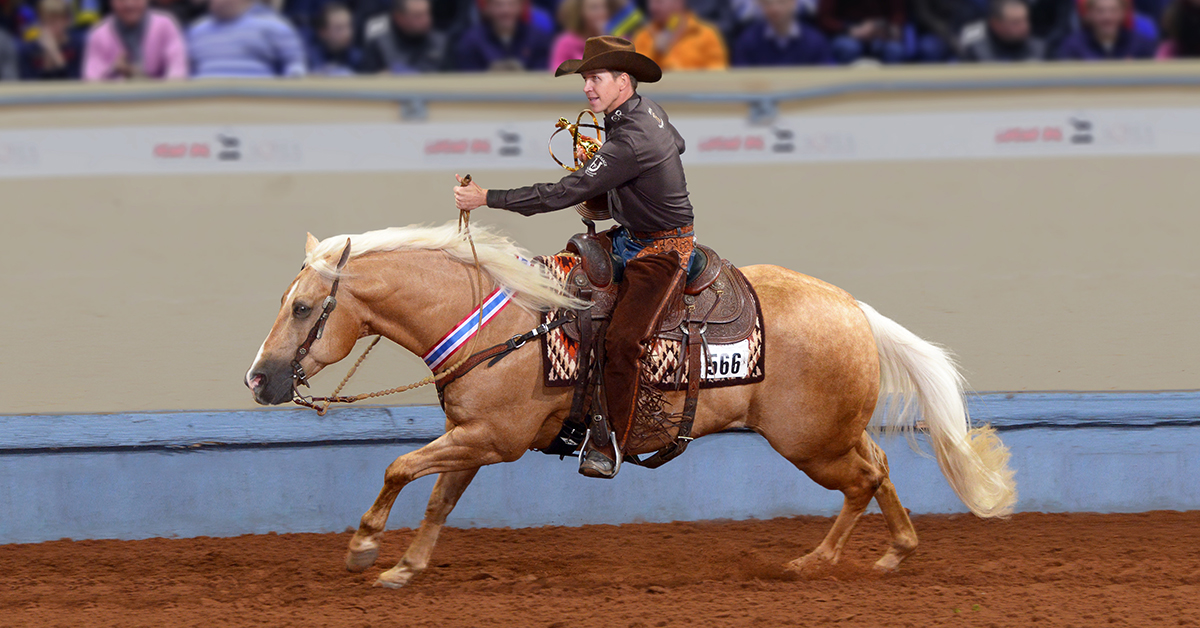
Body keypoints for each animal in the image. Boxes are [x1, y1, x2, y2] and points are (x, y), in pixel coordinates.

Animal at [244, 222, 1017, 589]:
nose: (258, 380)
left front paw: (363, 547)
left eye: (304, 306)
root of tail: (857, 310)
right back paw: (895, 552)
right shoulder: (472, 436)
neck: (498, 321)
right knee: (879, 465)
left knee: (863, 478)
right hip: (829, 435)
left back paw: (815, 564)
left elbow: (399, 468)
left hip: (812, 444)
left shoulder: (490, 438)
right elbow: (437, 498)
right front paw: (406, 567)